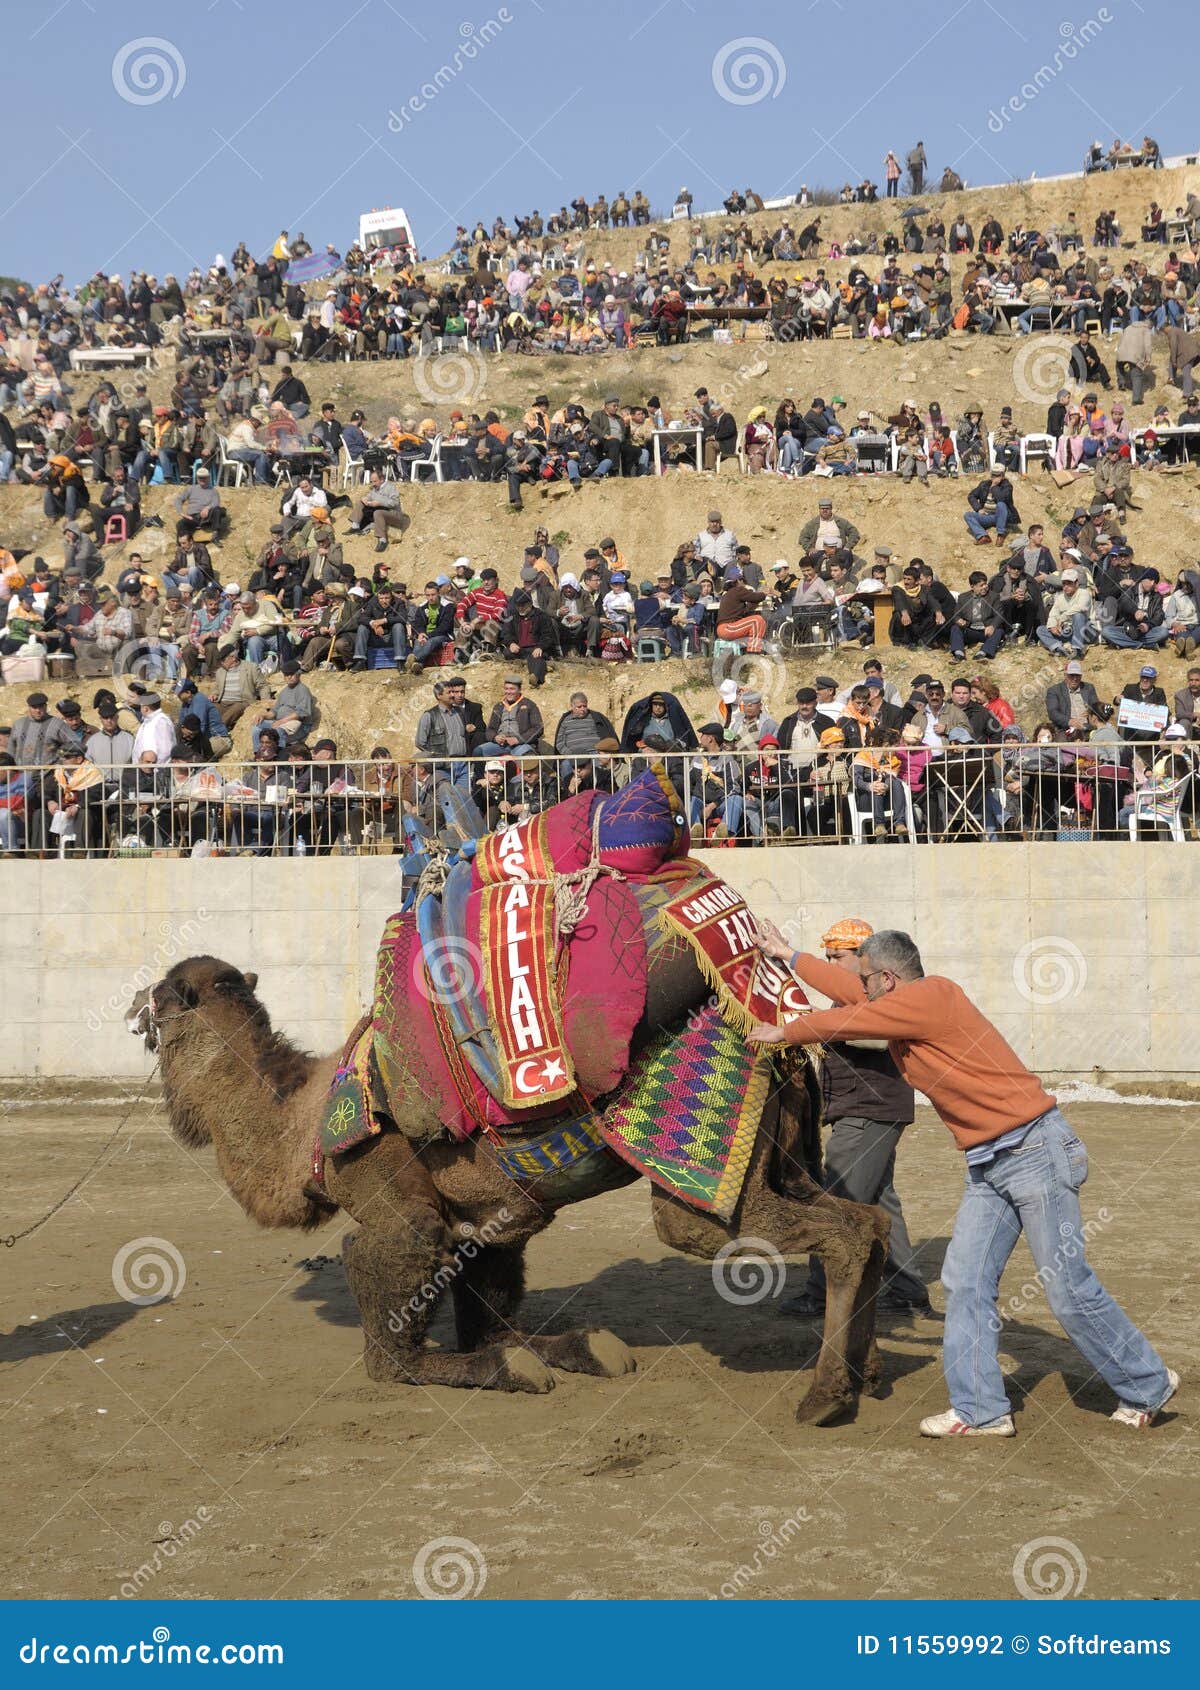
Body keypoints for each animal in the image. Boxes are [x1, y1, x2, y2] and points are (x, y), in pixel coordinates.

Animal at [127, 952, 889, 1424]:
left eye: (158, 997)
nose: (132, 1008)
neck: (301, 1127)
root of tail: (781, 1039)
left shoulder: (385, 1193)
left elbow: (390, 1348)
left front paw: (506, 1368)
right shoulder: (491, 1218)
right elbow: (493, 1308)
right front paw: (577, 1348)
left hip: (706, 1176)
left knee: (825, 1229)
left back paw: (825, 1397)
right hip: (785, 1155)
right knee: (869, 1221)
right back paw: (866, 1371)